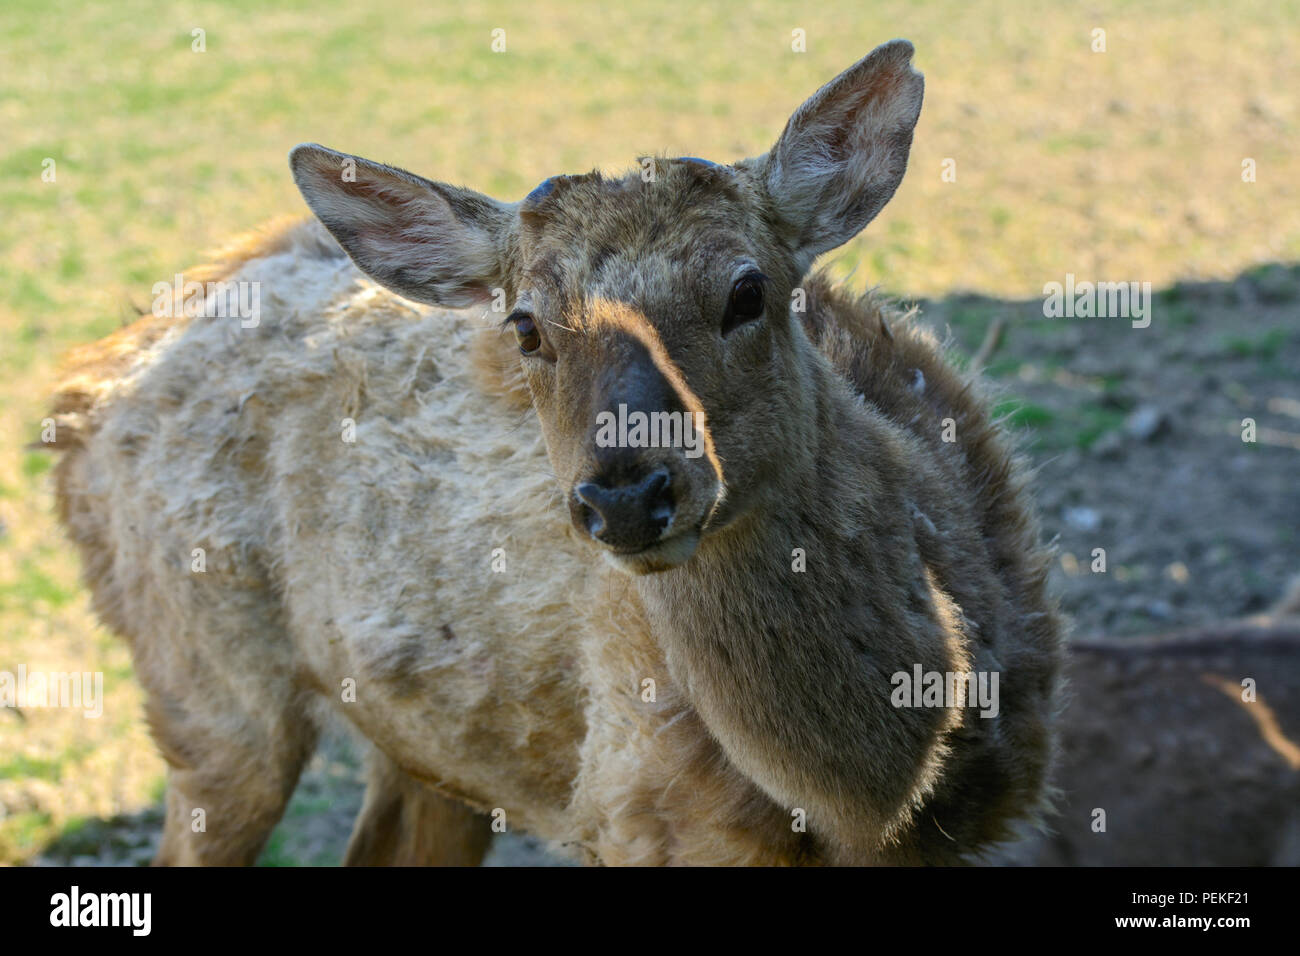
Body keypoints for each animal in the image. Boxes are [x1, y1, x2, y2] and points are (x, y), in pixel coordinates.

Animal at [48, 39, 1066, 866]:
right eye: (527, 326)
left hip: (421, 740)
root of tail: (74, 394)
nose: (627, 495)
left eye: (747, 291)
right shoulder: (642, 819)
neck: (870, 808)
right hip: (202, 688)